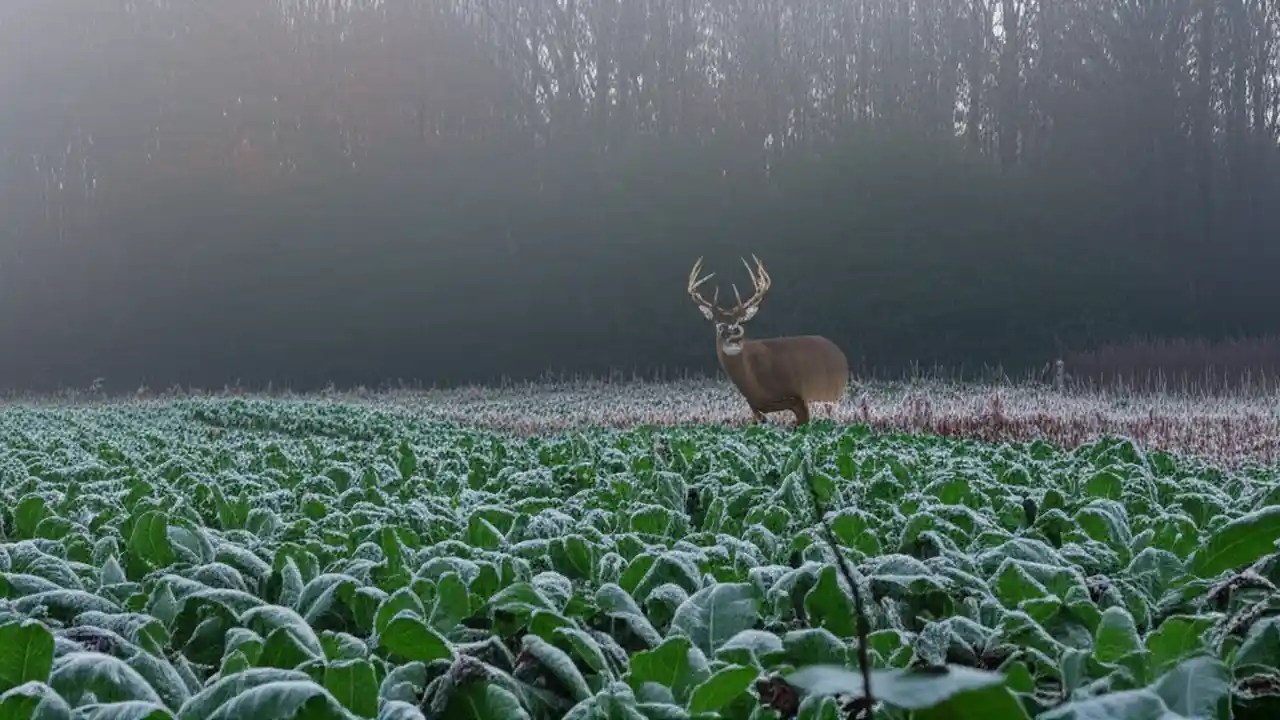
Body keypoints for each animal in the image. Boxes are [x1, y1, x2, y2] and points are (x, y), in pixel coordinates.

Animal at [687, 255, 849, 426]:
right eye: (719, 325)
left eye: (739, 324)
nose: (733, 340)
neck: (753, 383)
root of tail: (840, 353)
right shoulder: (755, 406)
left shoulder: (798, 396)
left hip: (831, 393)